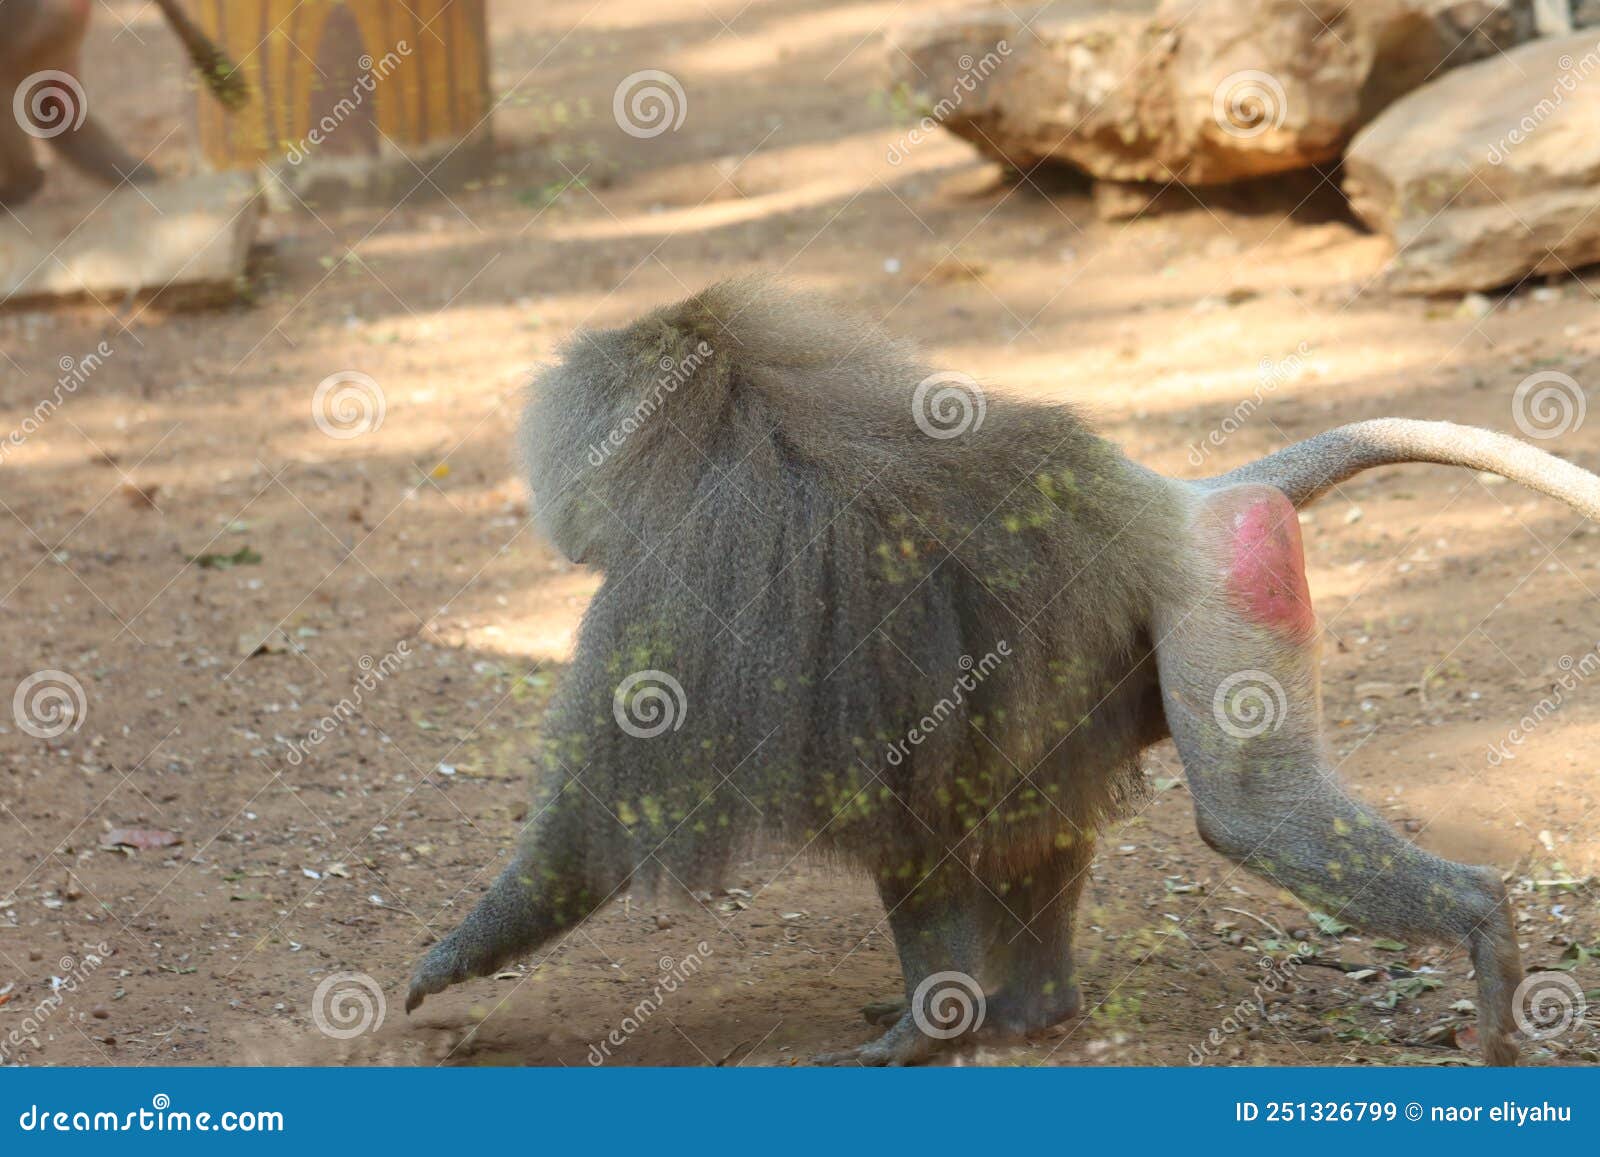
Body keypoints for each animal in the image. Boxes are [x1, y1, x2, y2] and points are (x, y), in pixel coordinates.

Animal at [404, 278, 1600, 1066]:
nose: (557, 524)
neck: (739, 417)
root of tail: (1189, 495)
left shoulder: (667, 603)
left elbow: (592, 838)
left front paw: (448, 960)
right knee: (1033, 800)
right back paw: (1033, 1013)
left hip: (1225, 594)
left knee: (1248, 813)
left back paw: (1483, 932)